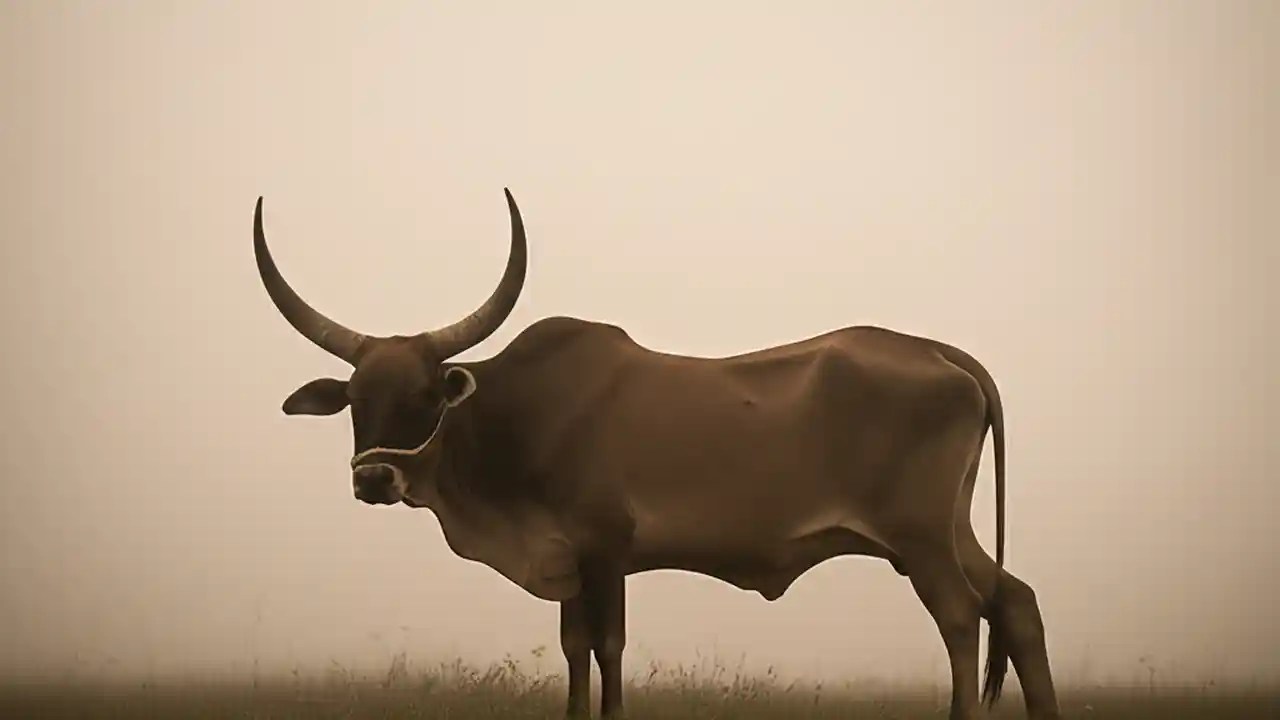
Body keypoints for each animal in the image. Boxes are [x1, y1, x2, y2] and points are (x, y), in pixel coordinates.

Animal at [250, 189, 1061, 720]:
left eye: (425, 394)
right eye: (356, 399)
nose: (374, 477)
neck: (513, 416)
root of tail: (937, 351)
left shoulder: (607, 549)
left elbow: (608, 647)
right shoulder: (567, 560)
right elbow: (574, 649)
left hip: (920, 538)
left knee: (961, 615)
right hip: (947, 529)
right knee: (1014, 601)